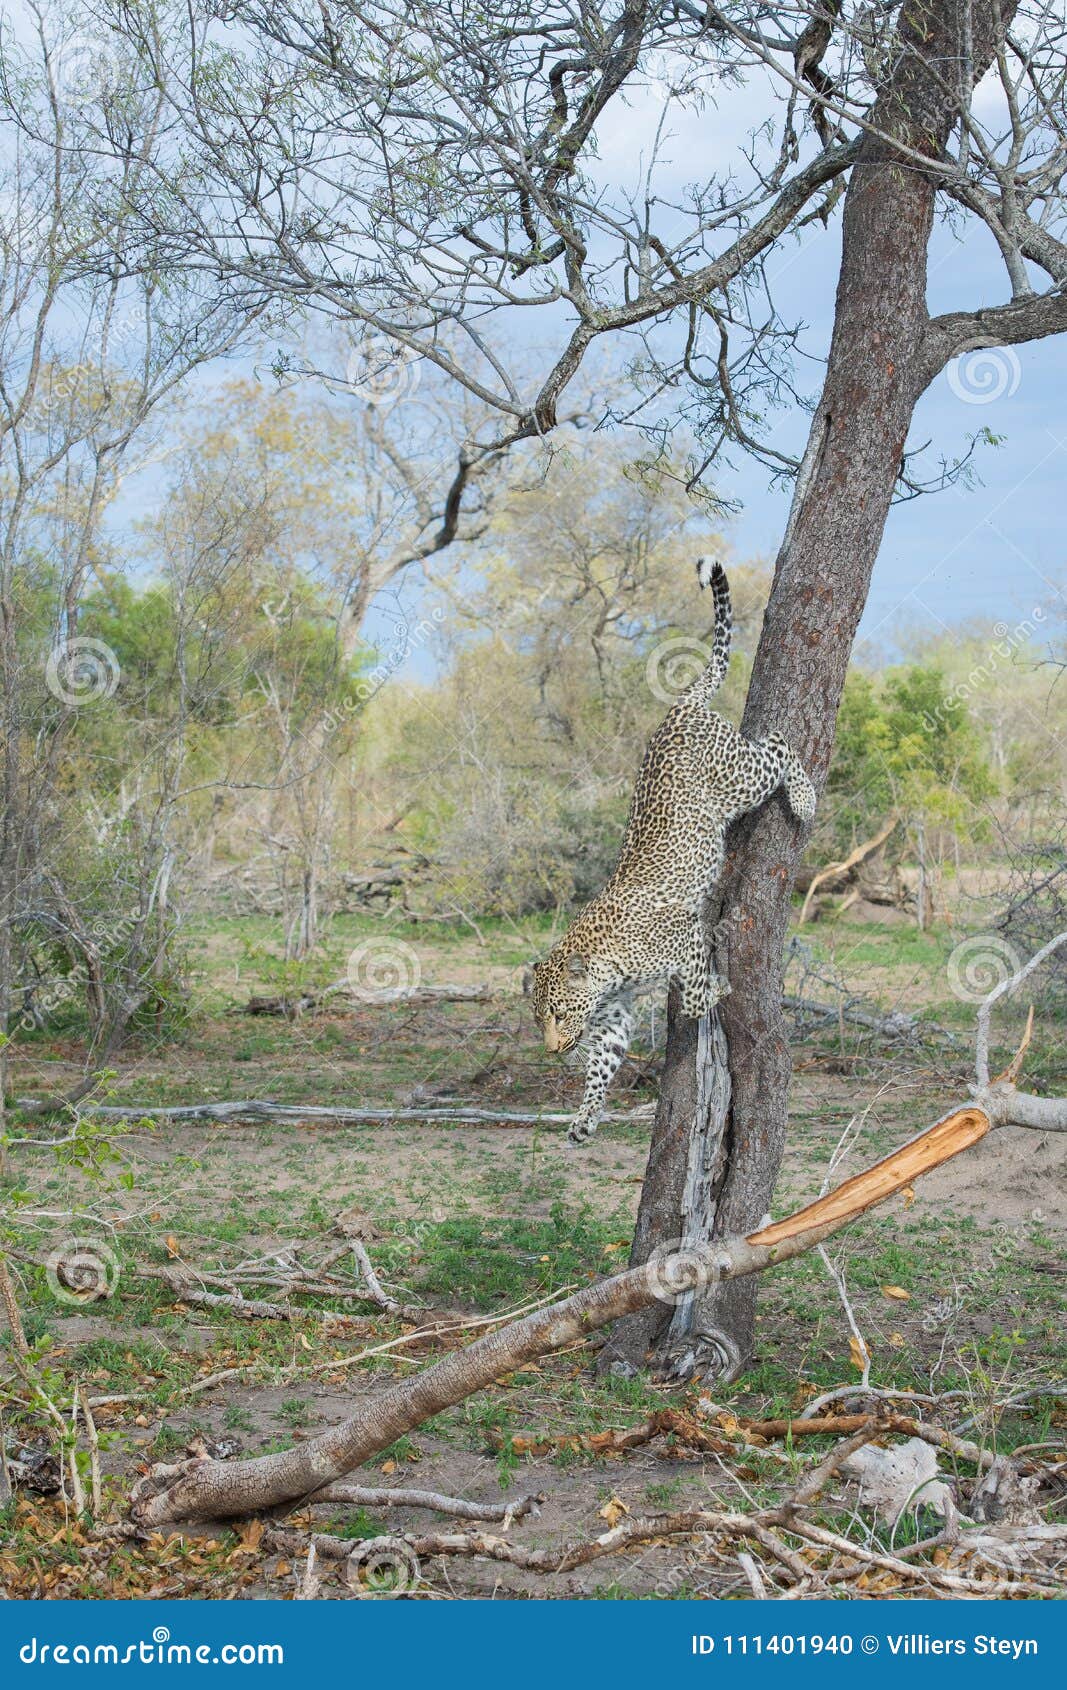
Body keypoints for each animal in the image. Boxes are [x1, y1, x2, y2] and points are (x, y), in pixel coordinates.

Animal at [526, 558, 817, 1145]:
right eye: (540, 1018)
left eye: (559, 1015)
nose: (552, 1048)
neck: (605, 966)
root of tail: (678, 707)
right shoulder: (615, 1015)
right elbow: (603, 1062)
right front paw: (584, 1119)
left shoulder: (685, 935)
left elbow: (692, 995)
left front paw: (721, 988)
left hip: (740, 779)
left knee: (779, 744)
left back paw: (804, 797)